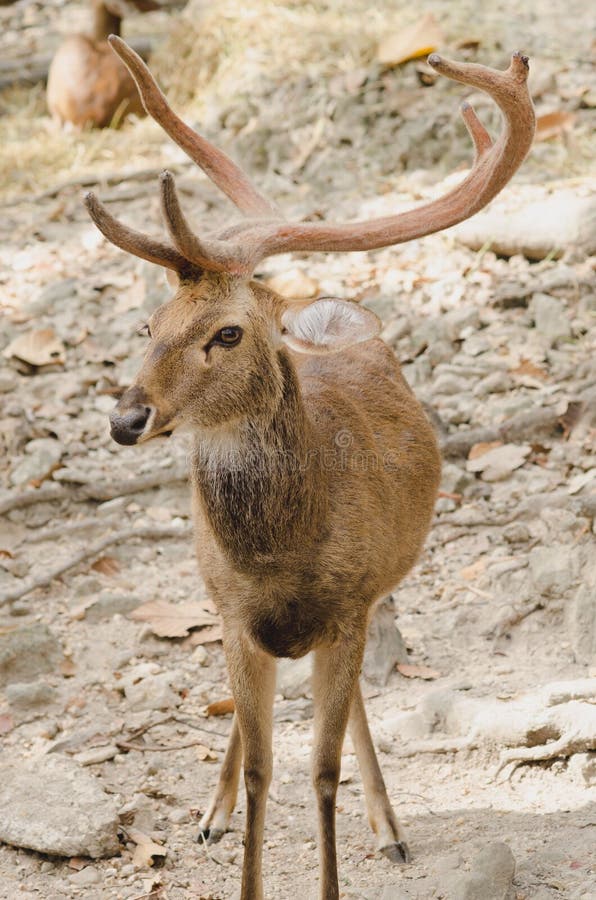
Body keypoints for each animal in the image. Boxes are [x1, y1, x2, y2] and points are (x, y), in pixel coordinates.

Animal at [84, 36, 535, 900]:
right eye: (149, 324)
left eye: (227, 333)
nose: (126, 418)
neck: (283, 554)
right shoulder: (231, 618)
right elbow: (264, 768)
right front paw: (232, 828)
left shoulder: (350, 607)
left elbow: (321, 771)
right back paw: (211, 812)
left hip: (380, 589)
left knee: (356, 701)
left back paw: (390, 828)